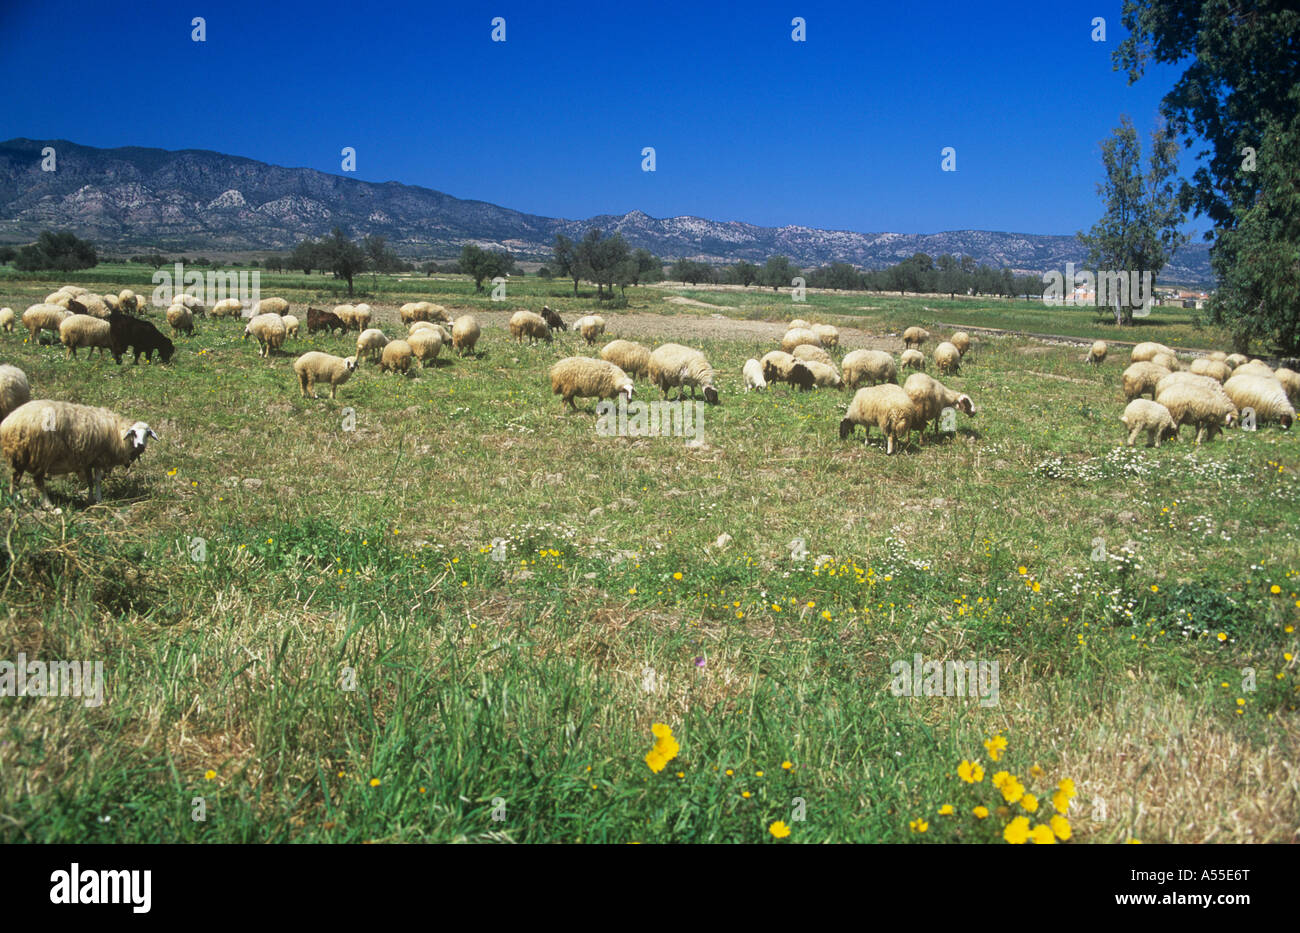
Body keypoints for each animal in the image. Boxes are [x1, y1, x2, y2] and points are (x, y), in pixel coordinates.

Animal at [0, 399, 157, 507]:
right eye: (134, 433)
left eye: (147, 434)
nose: (141, 445)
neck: (118, 432)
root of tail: (9, 423)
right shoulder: (99, 458)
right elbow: (97, 480)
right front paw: (99, 499)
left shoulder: (87, 460)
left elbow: (90, 481)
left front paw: (90, 499)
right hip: (41, 455)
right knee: (37, 481)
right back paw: (49, 505)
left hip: (19, 456)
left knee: (15, 479)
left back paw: (18, 499)